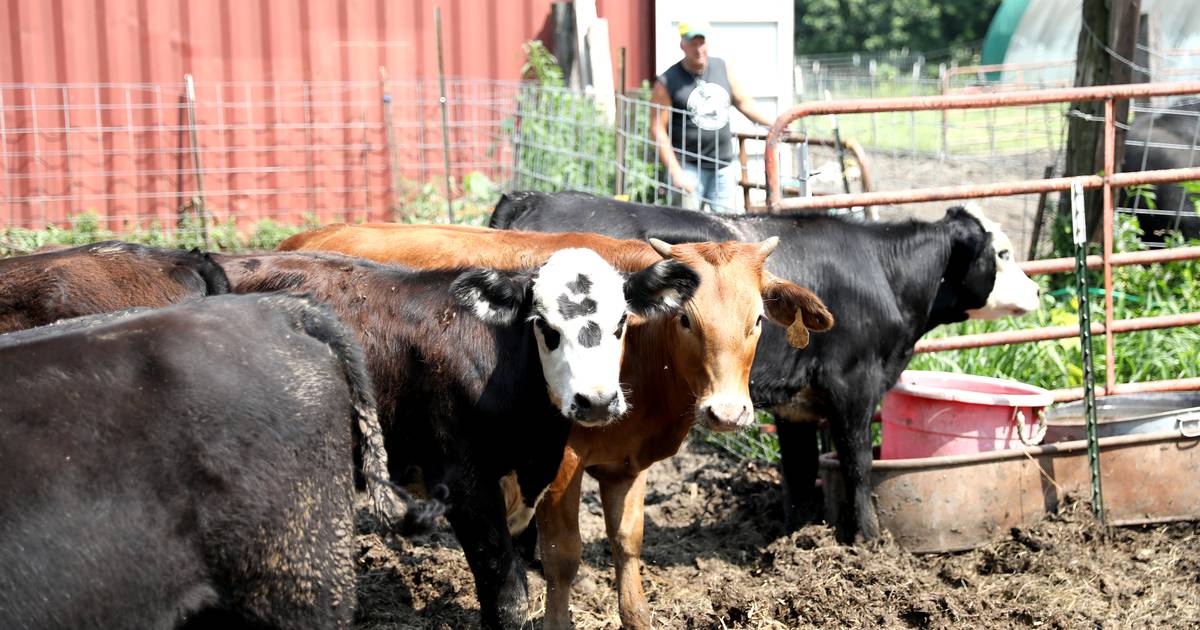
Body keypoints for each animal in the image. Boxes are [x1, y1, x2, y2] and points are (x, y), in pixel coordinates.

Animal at [277, 223, 834, 630]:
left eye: (757, 320)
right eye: (686, 321)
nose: (727, 412)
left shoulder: (627, 466)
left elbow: (627, 543)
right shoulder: (561, 464)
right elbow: (563, 555)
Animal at [489, 190, 1041, 546]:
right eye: (1002, 252)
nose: (1038, 291)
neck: (881, 275)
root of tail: (529, 198)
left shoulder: (796, 404)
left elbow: (798, 472)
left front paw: (795, 539)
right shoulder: (854, 387)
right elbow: (858, 465)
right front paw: (869, 542)